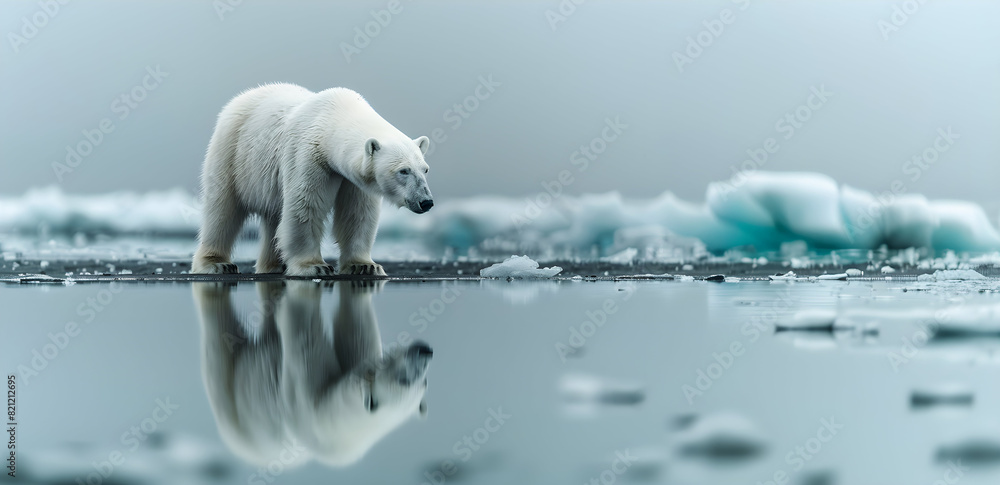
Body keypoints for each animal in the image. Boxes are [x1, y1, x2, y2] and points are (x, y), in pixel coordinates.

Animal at [191, 83, 434, 276]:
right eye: (403, 171)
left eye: (425, 169)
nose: (426, 202)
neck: (333, 116)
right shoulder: (308, 155)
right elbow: (306, 205)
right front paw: (314, 266)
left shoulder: (354, 179)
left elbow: (357, 214)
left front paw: (365, 266)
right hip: (232, 153)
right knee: (222, 210)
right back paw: (217, 263)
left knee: (274, 216)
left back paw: (273, 265)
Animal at [193, 279, 432, 467]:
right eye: (408, 379)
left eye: (419, 382)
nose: (425, 351)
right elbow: (354, 334)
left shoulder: (305, 399)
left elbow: (305, 336)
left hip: (231, 397)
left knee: (221, 342)